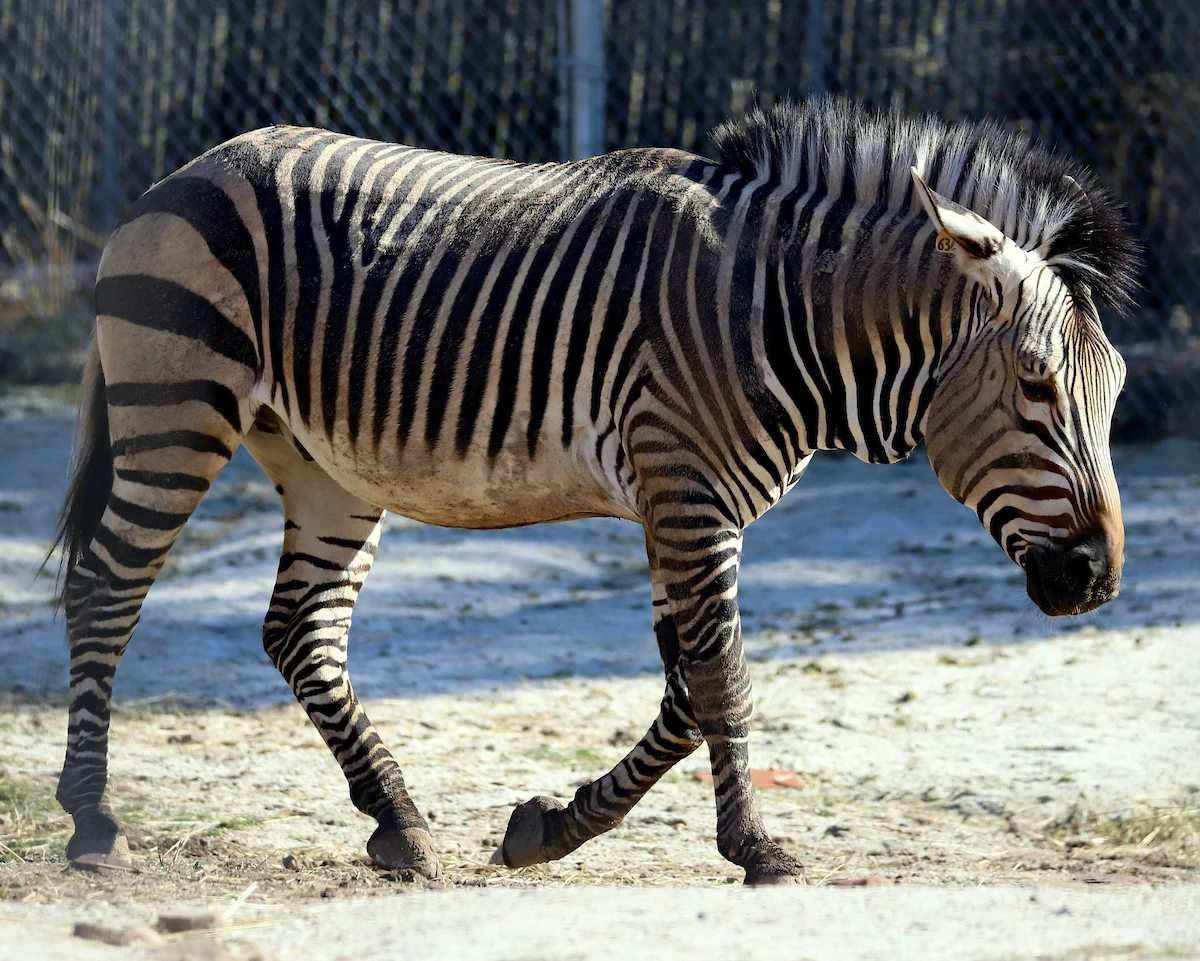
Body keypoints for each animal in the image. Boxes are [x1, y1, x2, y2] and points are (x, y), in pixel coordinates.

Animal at [50, 98, 1138, 885]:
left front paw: (550, 827)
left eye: (1116, 390)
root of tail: (190, 168)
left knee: (299, 629)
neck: (781, 307)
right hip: (178, 406)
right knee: (105, 590)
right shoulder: (688, 490)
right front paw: (757, 850)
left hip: (324, 463)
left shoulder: (686, 503)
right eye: (1037, 386)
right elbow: (721, 682)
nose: (1096, 578)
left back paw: (397, 822)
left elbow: (688, 692)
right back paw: (93, 821)